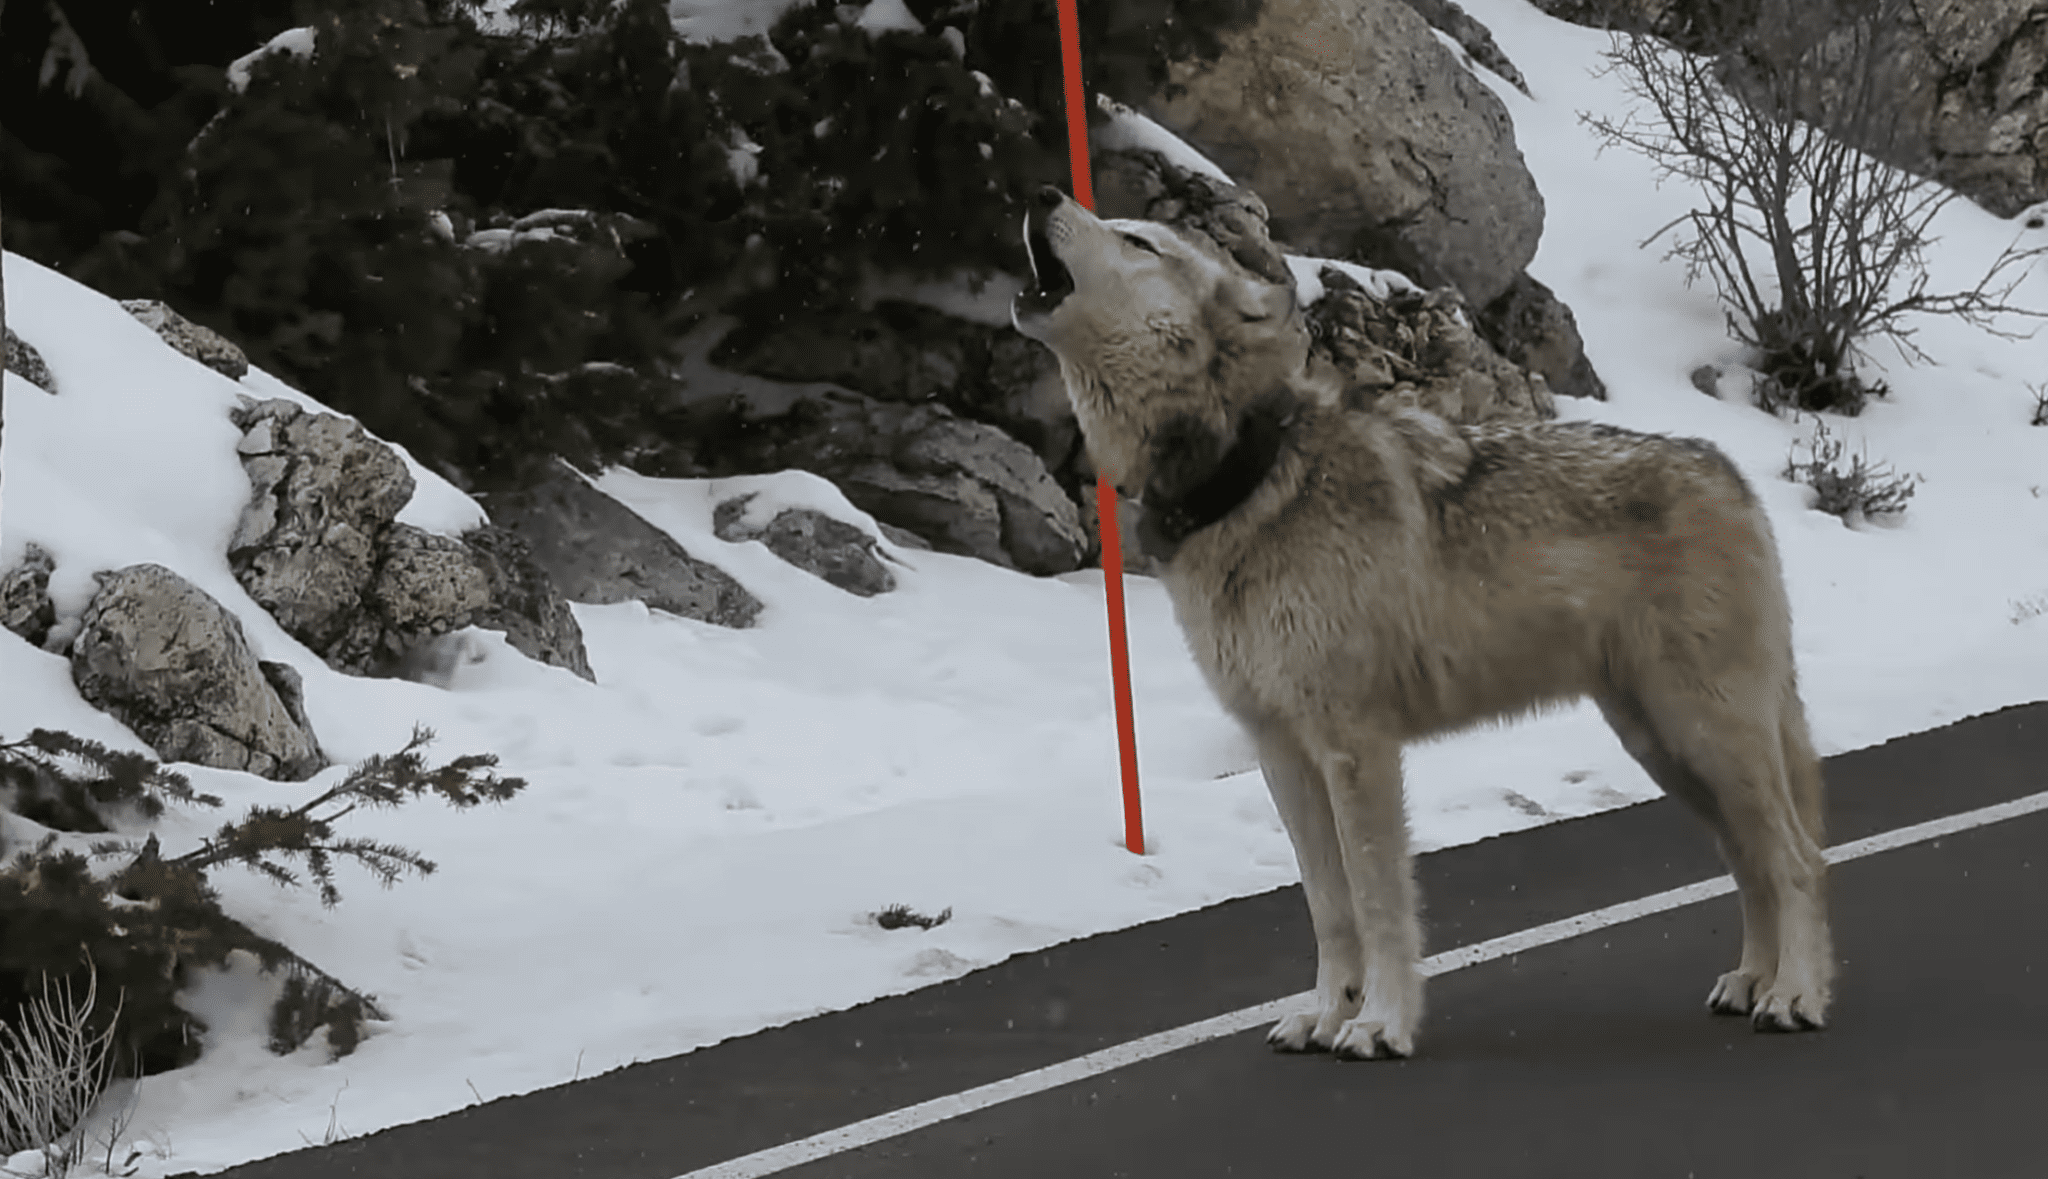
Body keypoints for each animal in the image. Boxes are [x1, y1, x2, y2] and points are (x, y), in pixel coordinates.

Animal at [1012, 185, 1832, 1059]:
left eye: (1137, 240)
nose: (1041, 192)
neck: (1248, 477)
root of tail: (1732, 474)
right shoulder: (1282, 754)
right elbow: (1329, 909)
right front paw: (1325, 1014)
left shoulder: (1357, 746)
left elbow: (1378, 902)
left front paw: (1379, 1023)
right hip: (1664, 748)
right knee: (1751, 860)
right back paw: (1752, 982)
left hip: (1706, 735)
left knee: (1796, 857)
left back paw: (1794, 995)